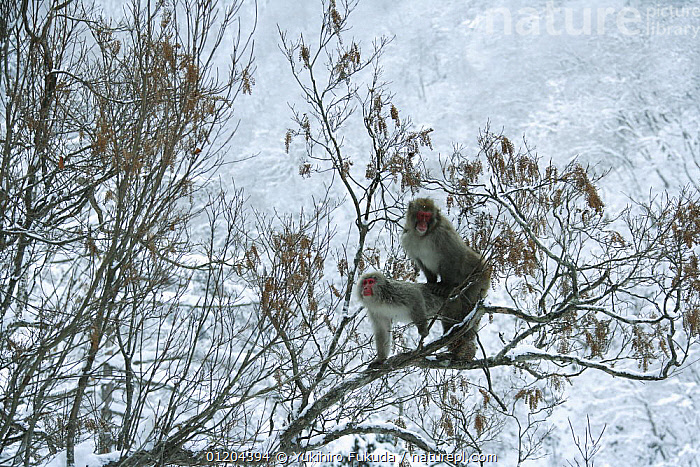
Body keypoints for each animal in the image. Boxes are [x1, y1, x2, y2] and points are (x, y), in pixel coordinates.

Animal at [401, 197, 491, 360]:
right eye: (421, 215)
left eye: (427, 216)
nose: (423, 224)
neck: (424, 235)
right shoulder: (408, 238)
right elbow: (421, 262)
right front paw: (431, 282)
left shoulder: (443, 234)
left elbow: (453, 256)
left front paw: (444, 285)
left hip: (478, 281)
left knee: (464, 307)